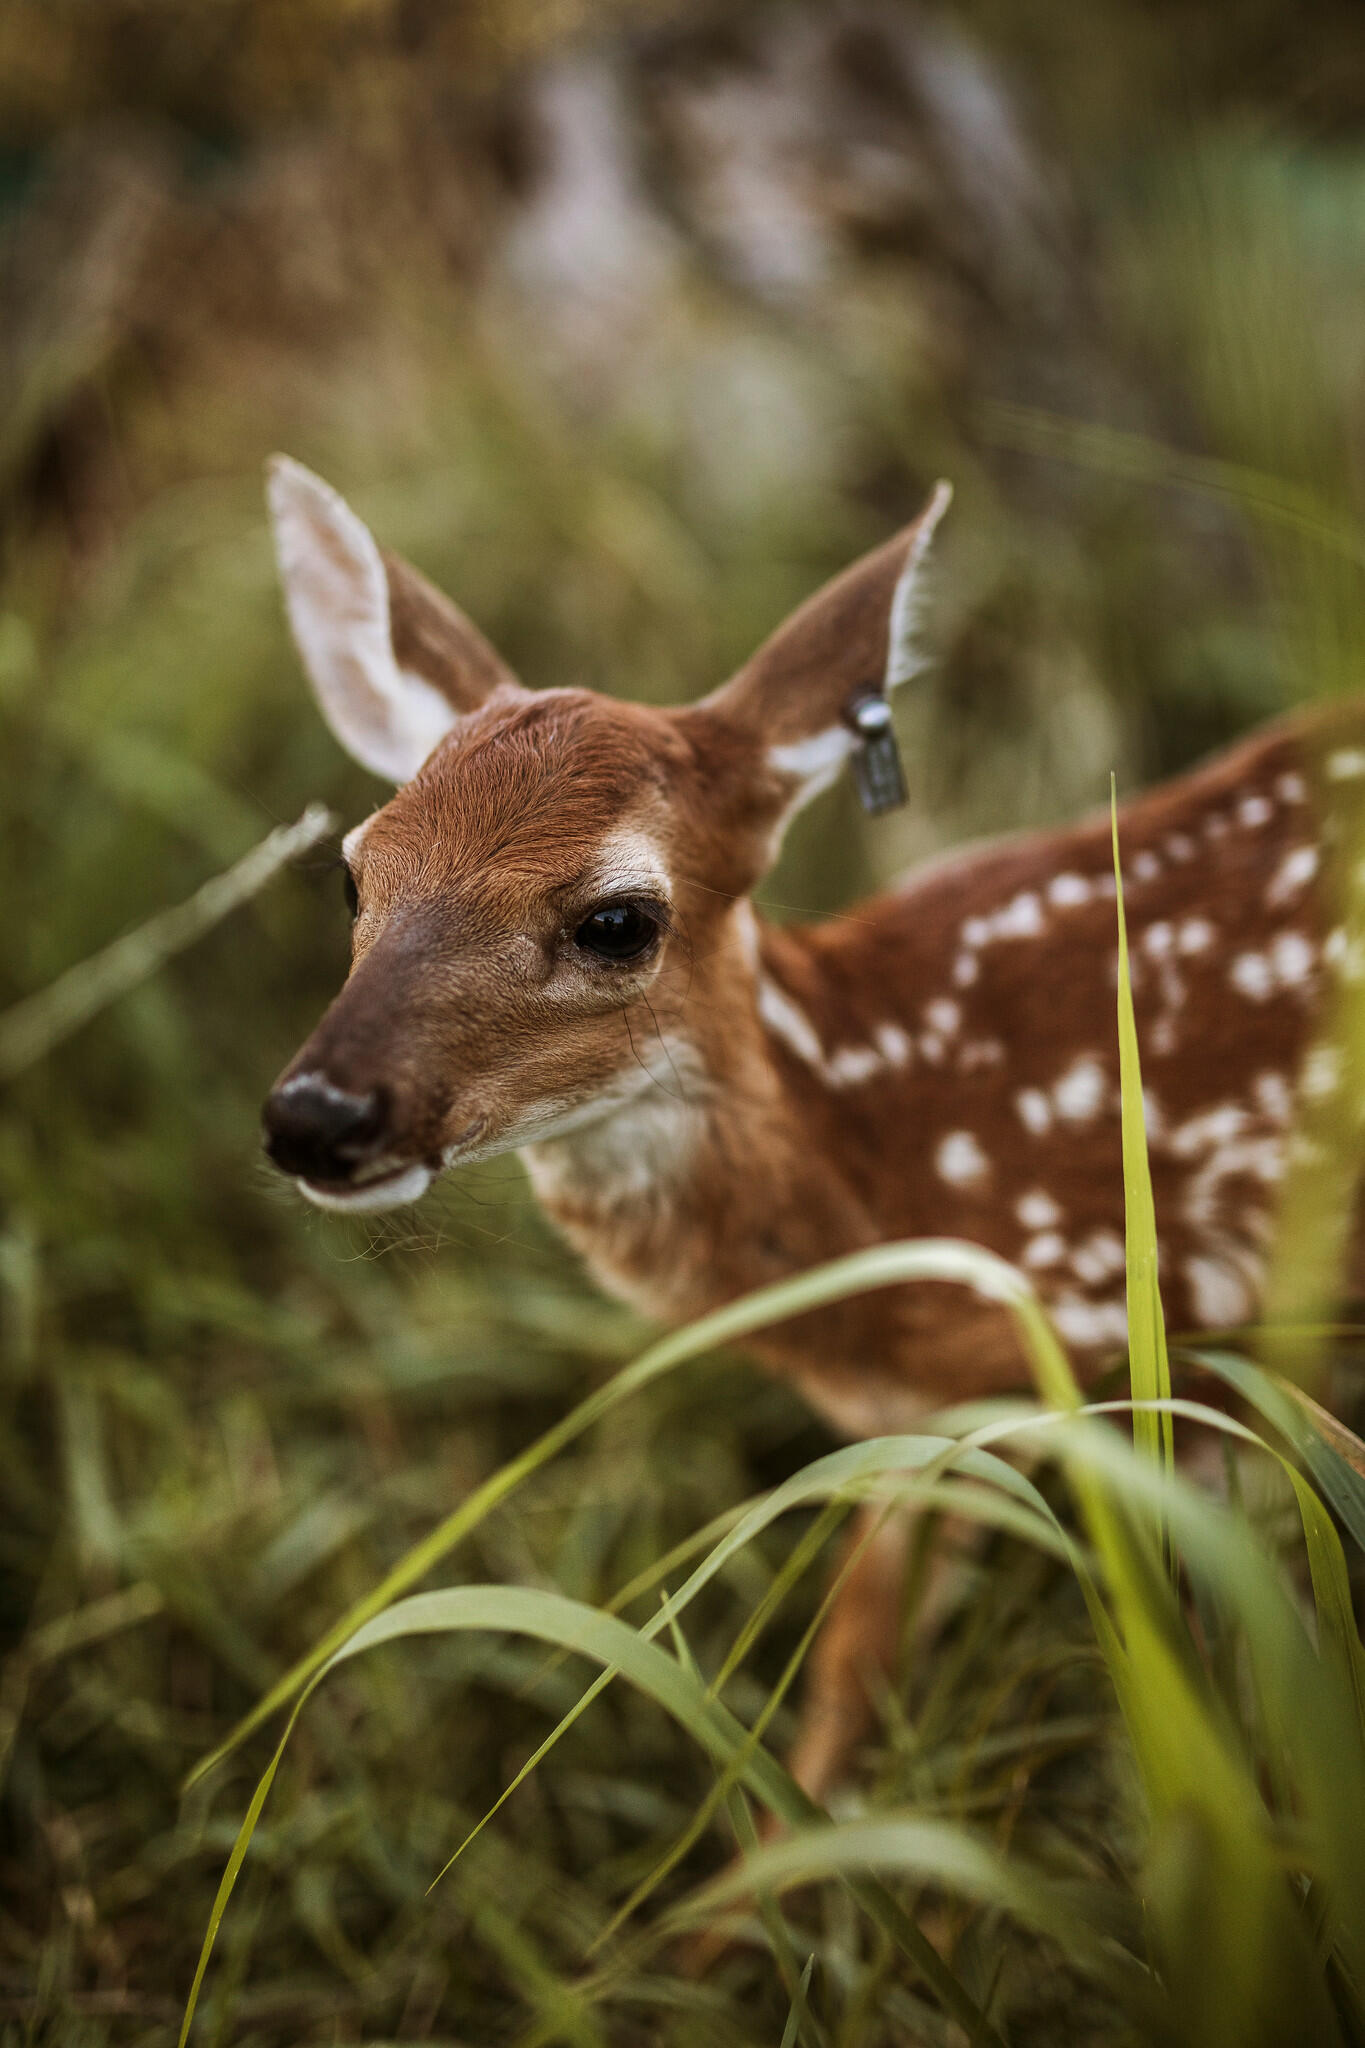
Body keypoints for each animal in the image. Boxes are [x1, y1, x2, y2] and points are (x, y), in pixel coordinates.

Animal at [260, 456, 1359, 1809]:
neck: (896, 1149)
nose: (317, 1112)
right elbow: (851, 1677)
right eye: (352, 874)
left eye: (617, 919)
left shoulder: (1188, 1339)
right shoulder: (934, 1419)